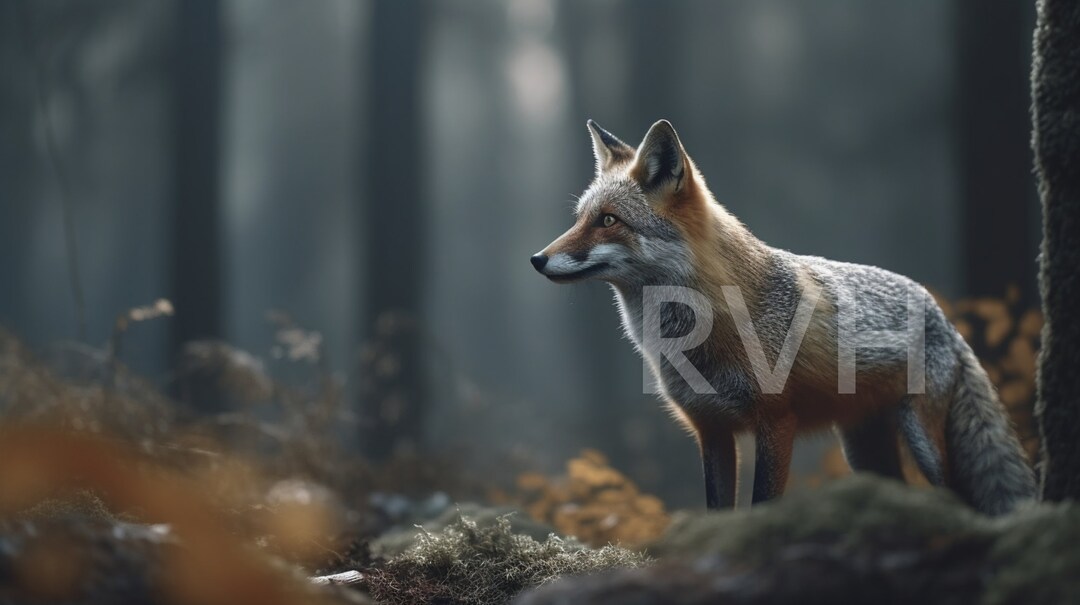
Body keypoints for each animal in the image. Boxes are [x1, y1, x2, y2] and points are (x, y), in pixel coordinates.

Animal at [530, 119, 1036, 515]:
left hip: (923, 442)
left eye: (609, 221)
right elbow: (718, 512)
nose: (536, 259)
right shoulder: (711, 430)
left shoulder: (776, 422)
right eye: (579, 219)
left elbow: (761, 506)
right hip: (863, 449)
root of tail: (941, 314)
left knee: (957, 497)